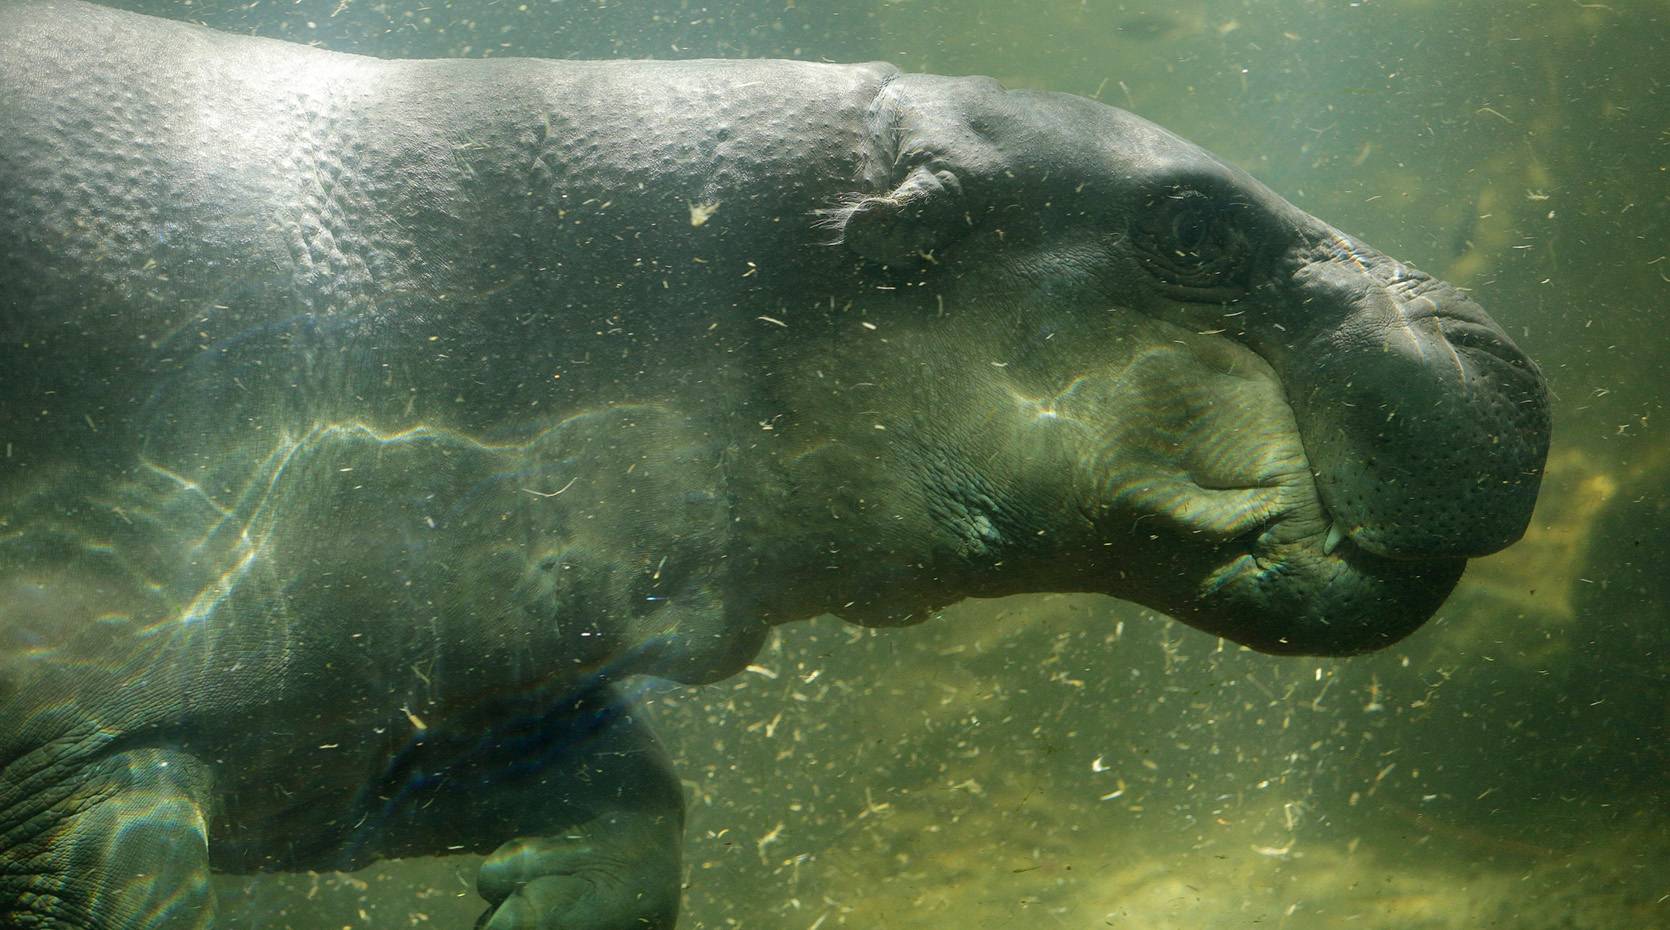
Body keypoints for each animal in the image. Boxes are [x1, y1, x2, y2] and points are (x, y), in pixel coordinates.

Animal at [0, 1, 1550, 927]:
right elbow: (127, 870)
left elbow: (637, 811)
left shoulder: (421, 708)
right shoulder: (93, 736)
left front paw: (536, 899)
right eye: (1190, 229)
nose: (1502, 357)